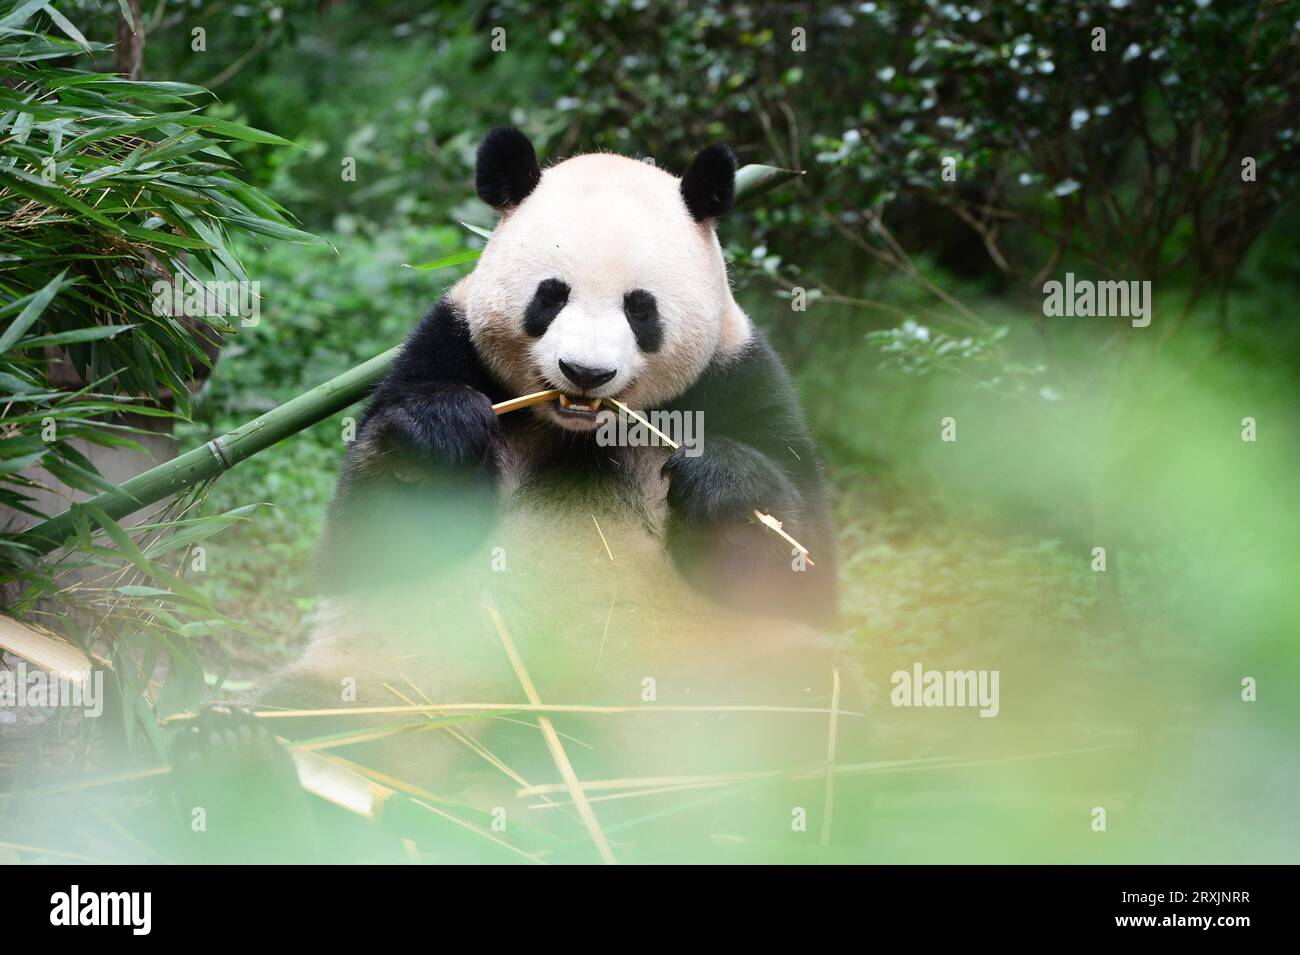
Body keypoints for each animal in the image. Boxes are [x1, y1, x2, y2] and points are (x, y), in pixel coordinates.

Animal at [171, 129, 851, 863]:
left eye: (641, 307)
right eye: (550, 296)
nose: (585, 372)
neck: (576, 430)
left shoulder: (739, 379)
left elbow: (802, 566)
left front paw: (717, 481)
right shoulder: (444, 348)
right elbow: (369, 542)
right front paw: (442, 432)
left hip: (726, 700)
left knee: (827, 723)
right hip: (390, 688)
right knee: (306, 724)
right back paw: (232, 758)